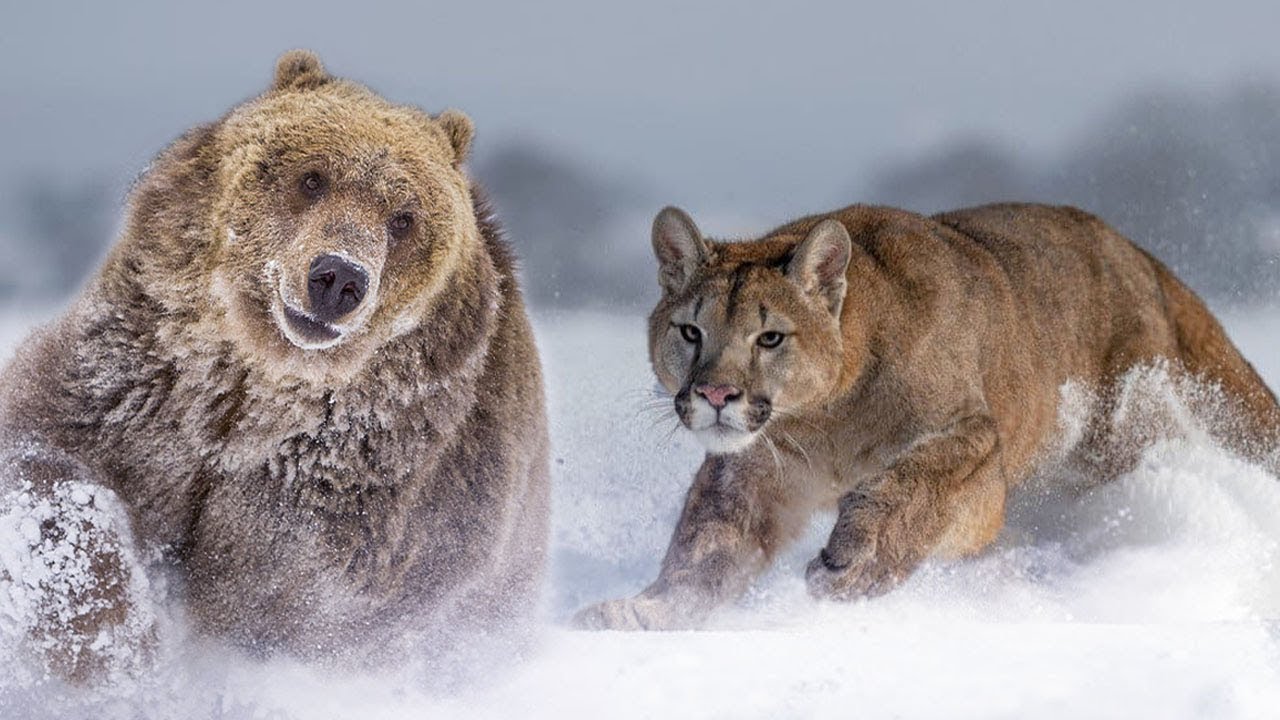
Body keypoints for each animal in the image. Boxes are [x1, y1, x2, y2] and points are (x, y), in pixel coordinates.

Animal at [0, 50, 550, 685]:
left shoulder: (358, 495)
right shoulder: (135, 386)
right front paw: (112, 647)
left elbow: (281, 598)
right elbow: (47, 461)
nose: (338, 278)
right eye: (313, 177)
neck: (253, 386)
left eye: (404, 218)